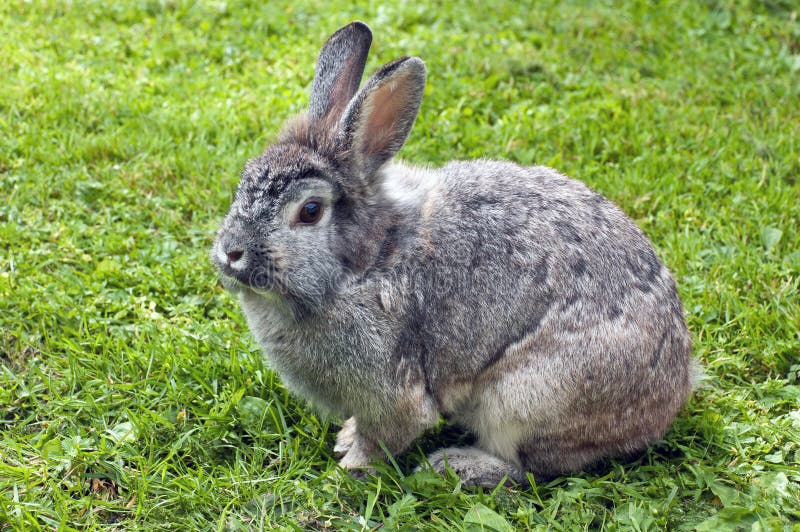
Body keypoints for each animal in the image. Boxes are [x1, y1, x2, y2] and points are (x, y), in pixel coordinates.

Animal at [211, 21, 696, 487]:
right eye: (243, 180)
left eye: (310, 211)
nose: (230, 253)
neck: (367, 260)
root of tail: (669, 396)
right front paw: (346, 438)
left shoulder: (391, 390)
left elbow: (387, 433)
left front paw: (349, 466)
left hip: (527, 398)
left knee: (530, 469)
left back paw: (456, 467)